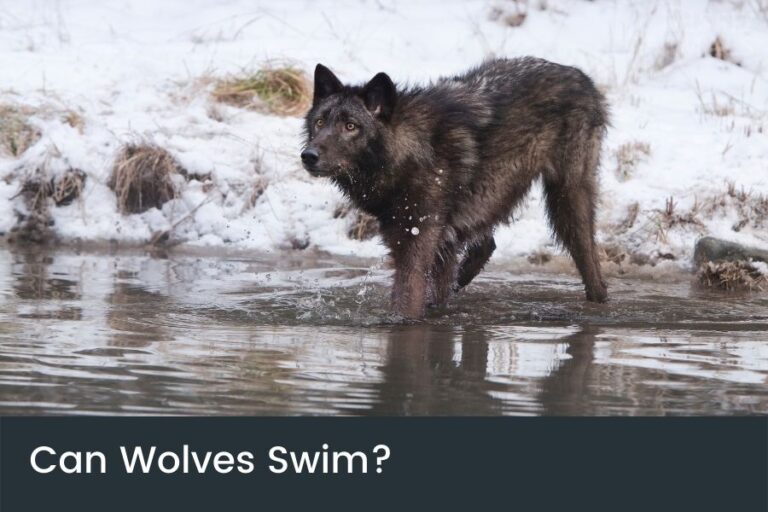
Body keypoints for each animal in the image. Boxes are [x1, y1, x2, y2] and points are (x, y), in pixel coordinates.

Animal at [301, 57, 609, 319]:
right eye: (320, 122)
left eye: (350, 126)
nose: (308, 155)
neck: (412, 153)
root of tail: (581, 75)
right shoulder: (433, 245)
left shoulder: (416, 248)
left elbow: (407, 304)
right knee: (485, 246)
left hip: (566, 203)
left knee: (592, 268)